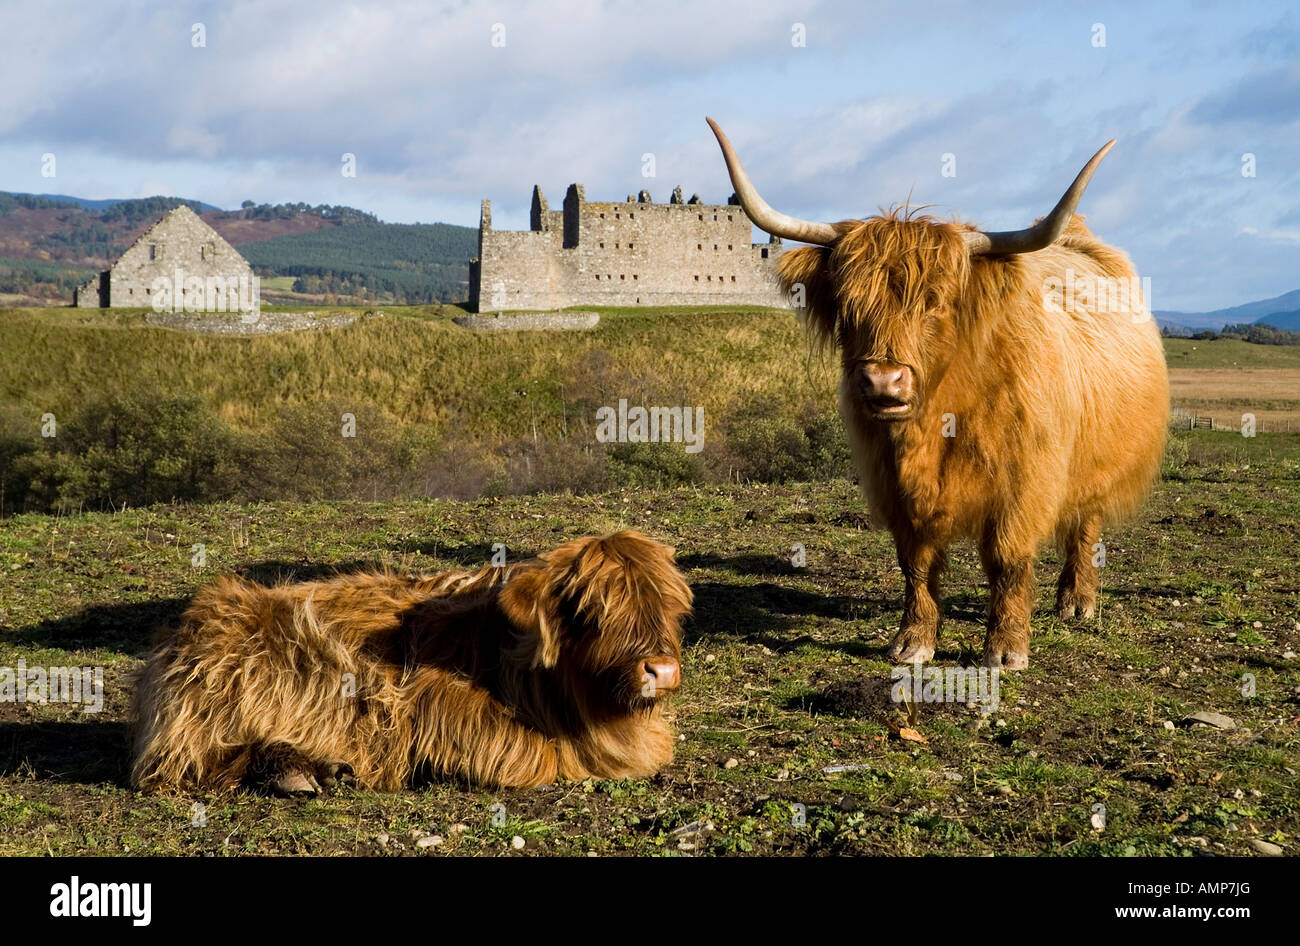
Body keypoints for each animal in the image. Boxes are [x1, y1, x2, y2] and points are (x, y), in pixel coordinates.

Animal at [708, 117, 1169, 669]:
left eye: (935, 302)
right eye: (848, 303)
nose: (883, 381)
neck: (941, 418)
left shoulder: (1024, 482)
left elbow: (1008, 559)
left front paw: (1006, 649)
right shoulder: (895, 486)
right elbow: (917, 564)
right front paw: (914, 640)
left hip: (1098, 461)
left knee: (1085, 525)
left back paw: (1077, 601)